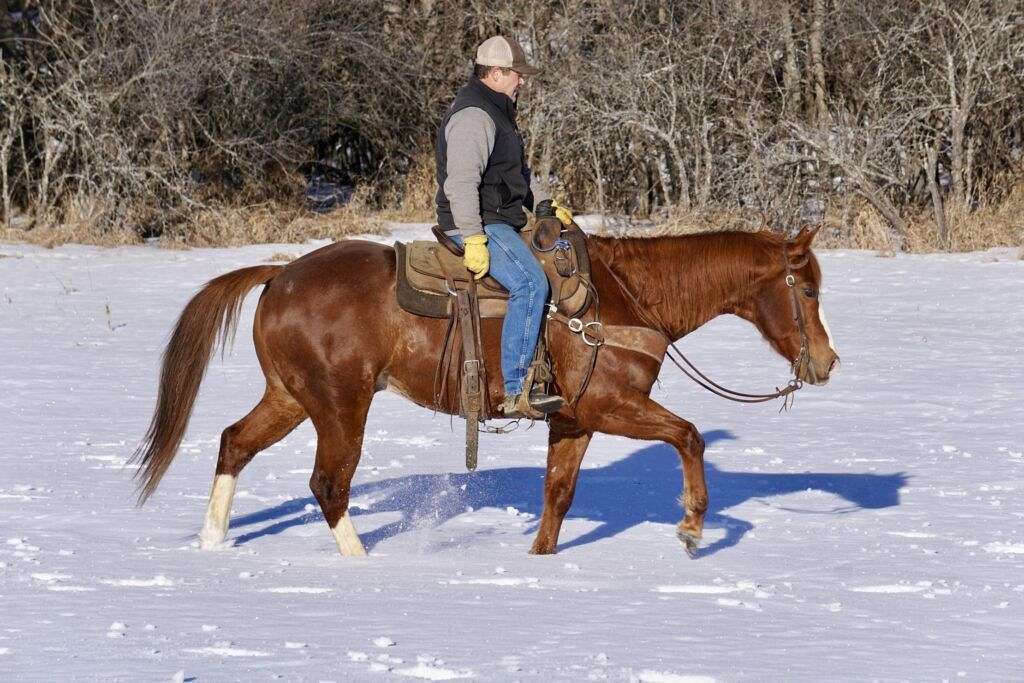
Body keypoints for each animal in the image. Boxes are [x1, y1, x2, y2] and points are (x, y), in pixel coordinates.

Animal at [133, 226, 839, 557]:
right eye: (807, 289)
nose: (828, 363)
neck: (624, 297)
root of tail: (278, 277)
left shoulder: (574, 419)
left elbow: (558, 494)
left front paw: (540, 558)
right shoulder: (613, 407)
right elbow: (689, 437)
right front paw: (692, 526)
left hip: (290, 396)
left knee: (234, 443)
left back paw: (213, 542)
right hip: (339, 404)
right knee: (328, 483)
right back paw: (360, 561)